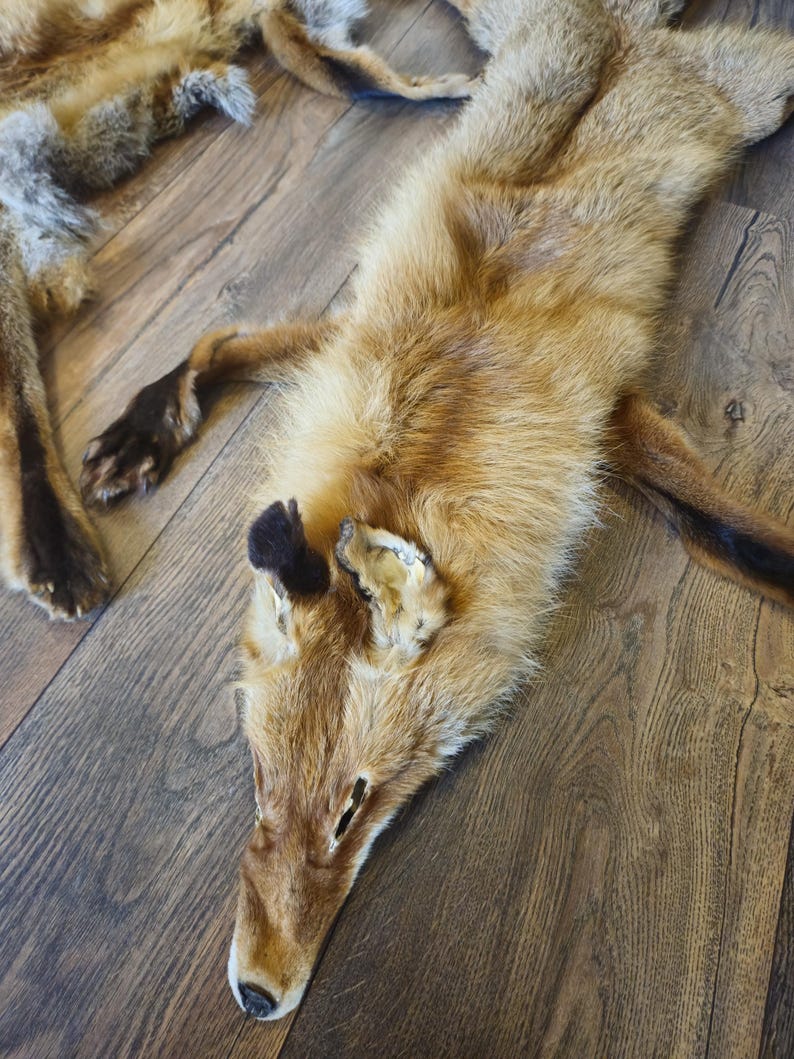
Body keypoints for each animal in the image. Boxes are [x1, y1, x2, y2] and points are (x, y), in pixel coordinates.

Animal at [78, 0, 794, 1021]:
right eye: (258, 779)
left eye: (353, 805)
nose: (256, 994)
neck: (407, 462)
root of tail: (619, 28)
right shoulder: (346, 343)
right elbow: (219, 339)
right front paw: (142, 428)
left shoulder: (607, 420)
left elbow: (735, 530)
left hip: (763, 87)